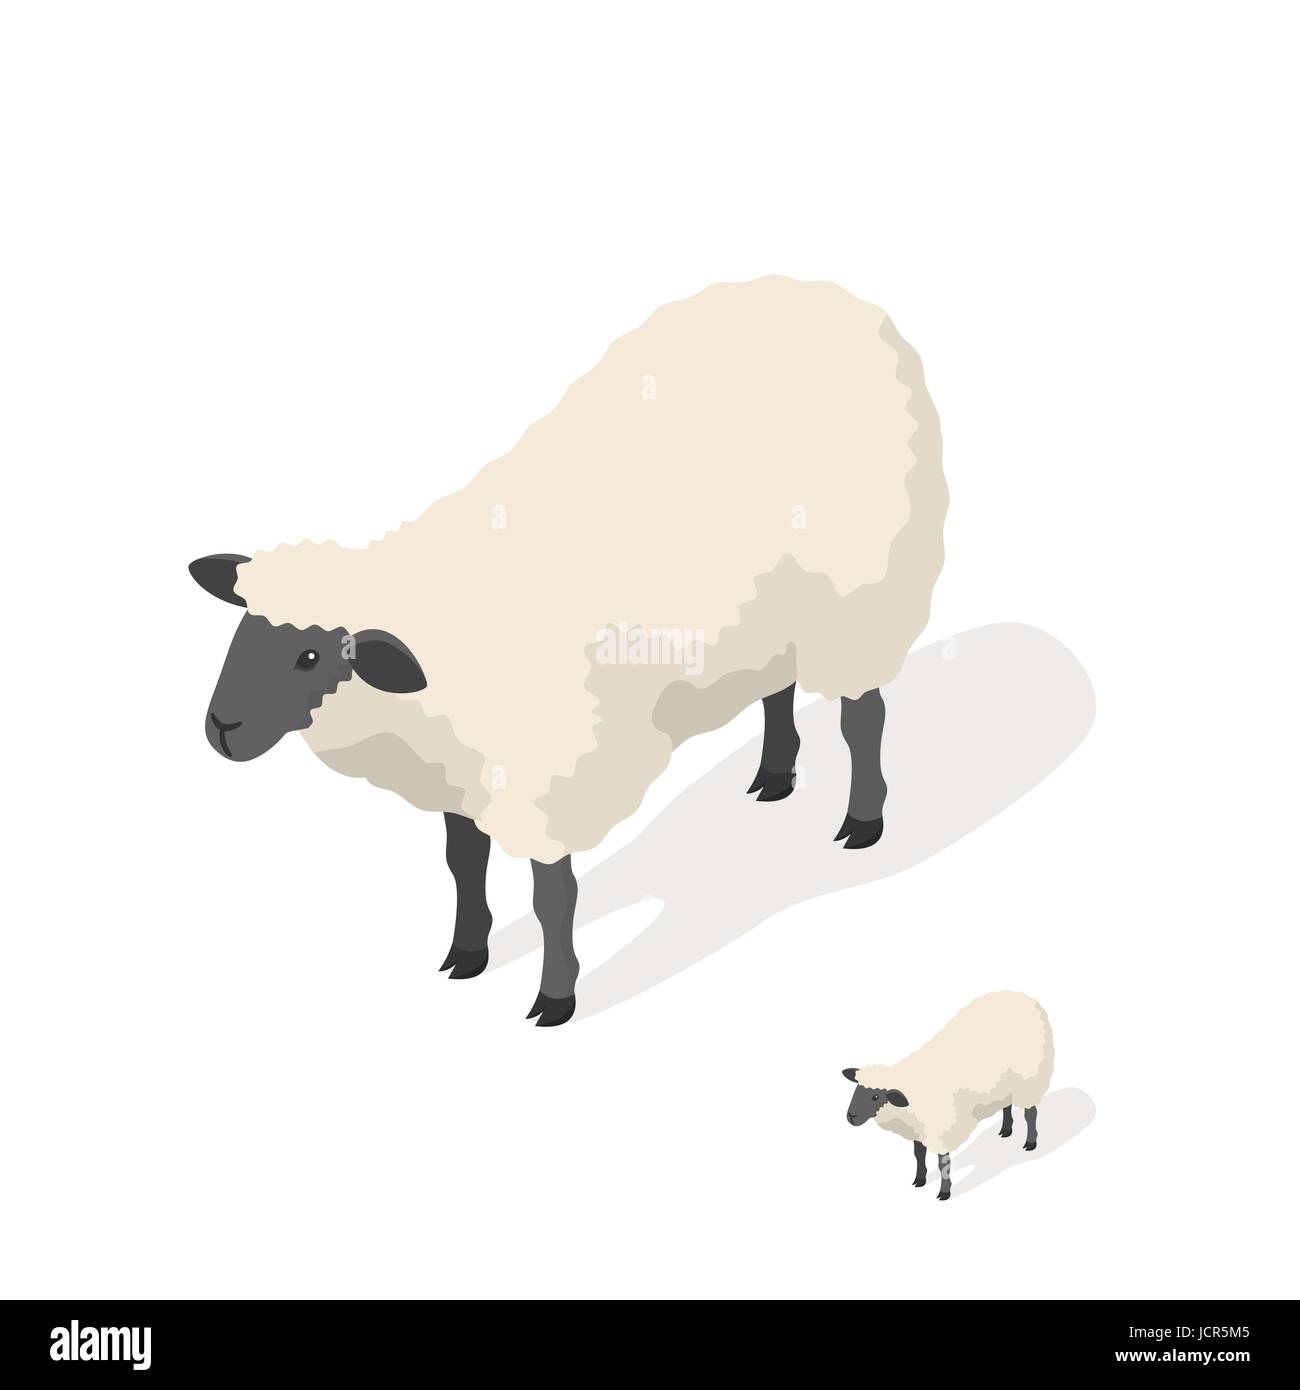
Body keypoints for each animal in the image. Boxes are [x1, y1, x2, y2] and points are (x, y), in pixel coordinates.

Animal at [189, 276, 947, 1026]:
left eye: (311, 658)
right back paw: (775, 775)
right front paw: (467, 953)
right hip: (774, 608)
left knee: (863, 717)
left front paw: (556, 996)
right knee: (776, 681)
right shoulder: (461, 775)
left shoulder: (546, 781)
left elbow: (552, 898)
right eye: (243, 626)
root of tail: (832, 296)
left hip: (861, 605)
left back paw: (863, 820)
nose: (220, 727)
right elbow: (463, 865)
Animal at [842, 991, 1054, 1200]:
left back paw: (1030, 1142)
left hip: (1030, 1082)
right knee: (1006, 1104)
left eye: (876, 1097)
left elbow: (943, 1163)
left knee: (1031, 1113)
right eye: (857, 1088)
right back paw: (1006, 1129)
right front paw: (920, 1179)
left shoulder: (941, 1130)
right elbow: (918, 1155)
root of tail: (1023, 997)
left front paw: (945, 1192)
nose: (850, 1116)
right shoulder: (919, 1130)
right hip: (1005, 1084)